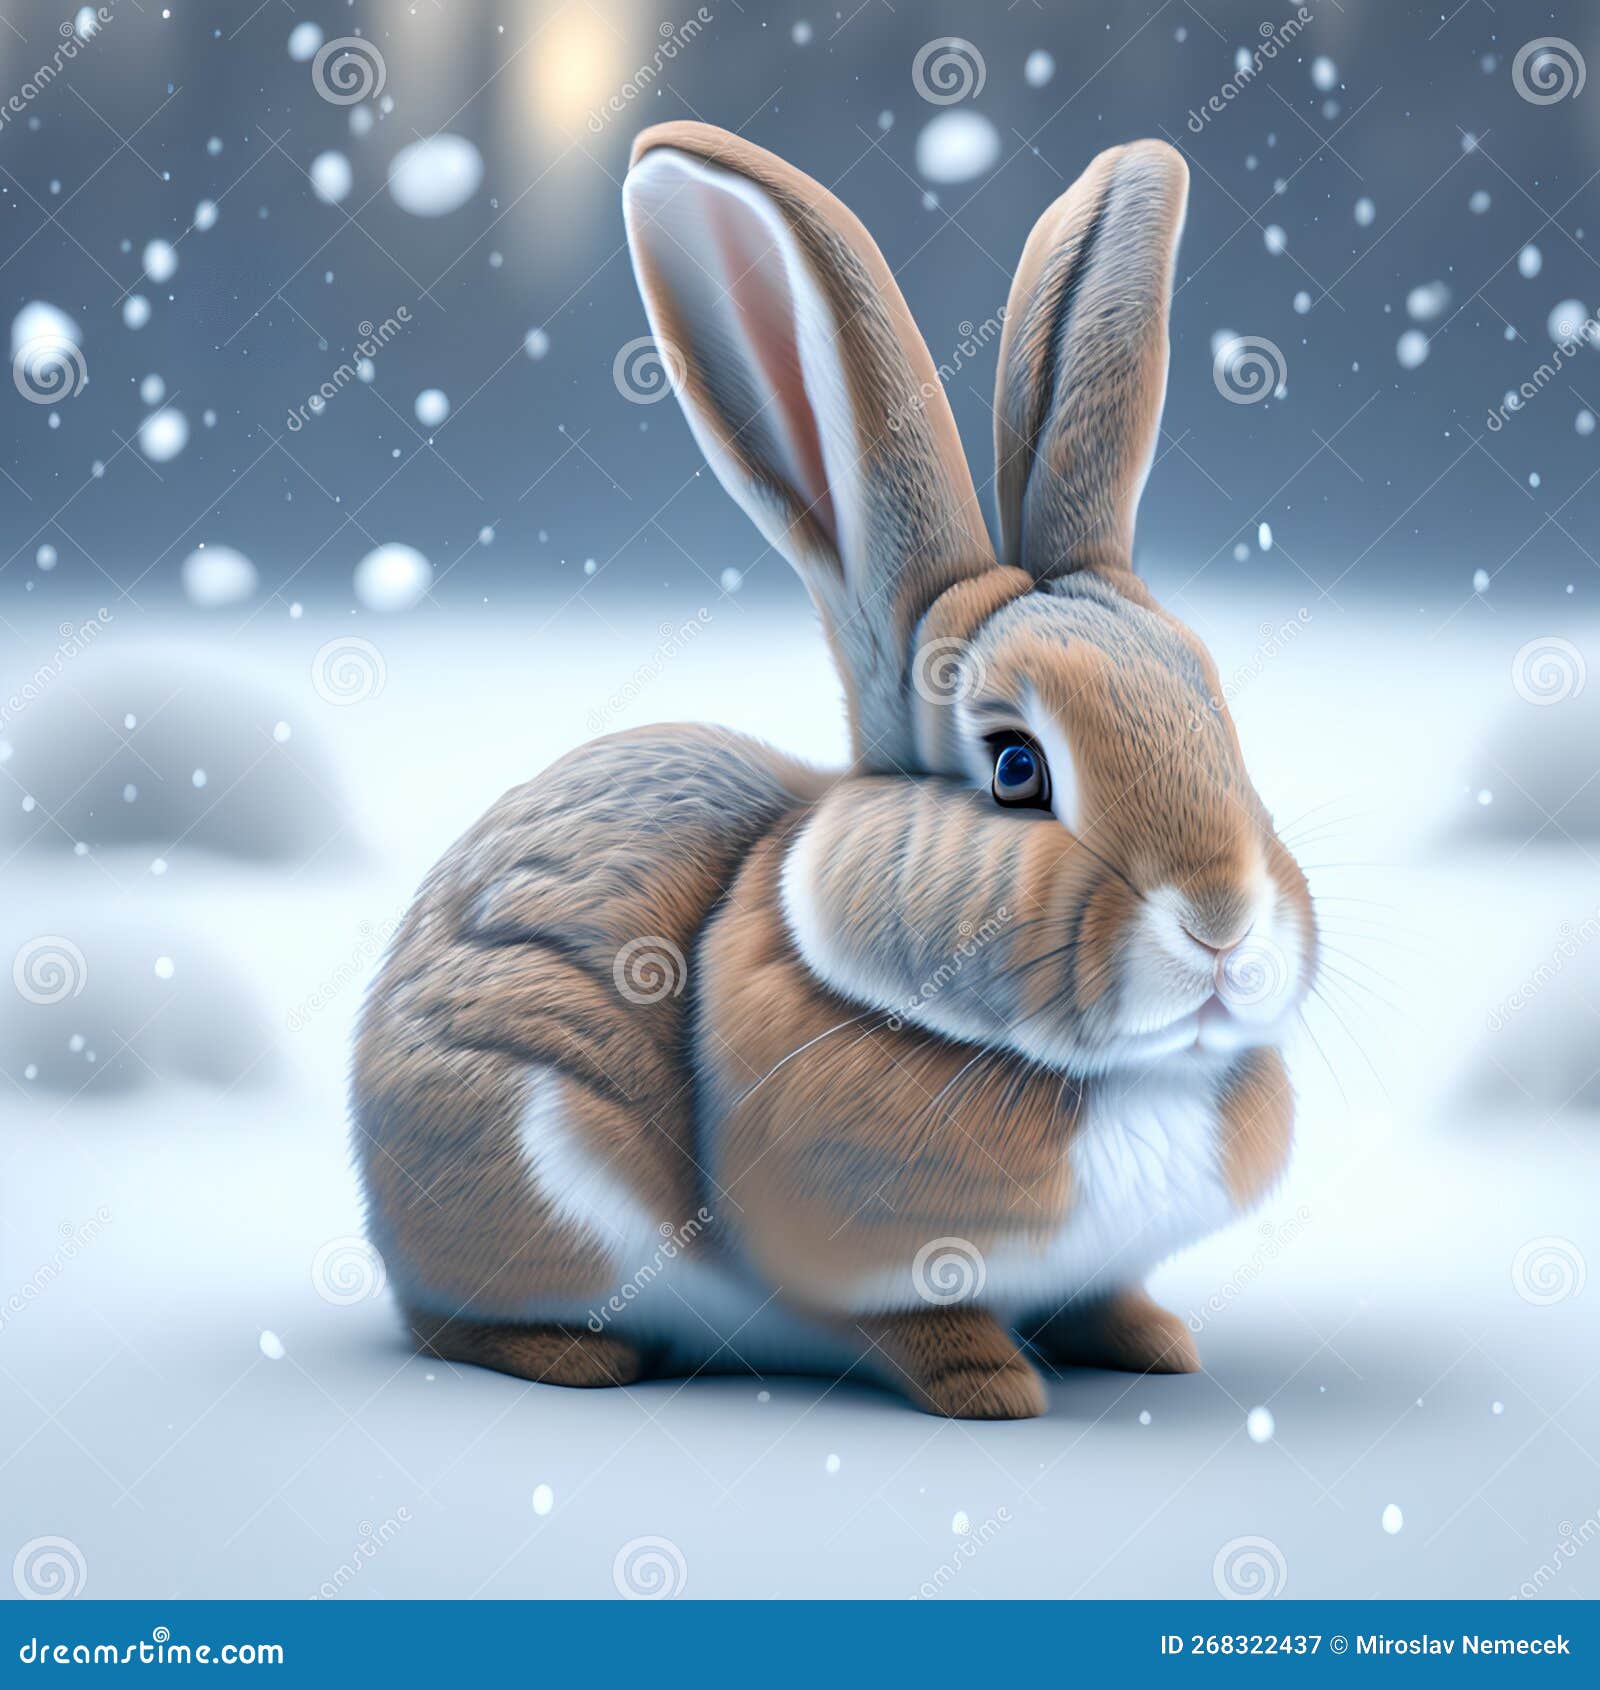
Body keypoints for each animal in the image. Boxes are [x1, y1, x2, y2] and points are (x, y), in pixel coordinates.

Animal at [351, 122, 1318, 1419]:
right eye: (1016, 766)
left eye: (1216, 714)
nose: (1221, 923)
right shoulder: (848, 1263)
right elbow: (908, 1323)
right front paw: (992, 1386)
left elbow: (1100, 1293)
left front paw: (1154, 1342)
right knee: (452, 1322)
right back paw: (580, 1358)